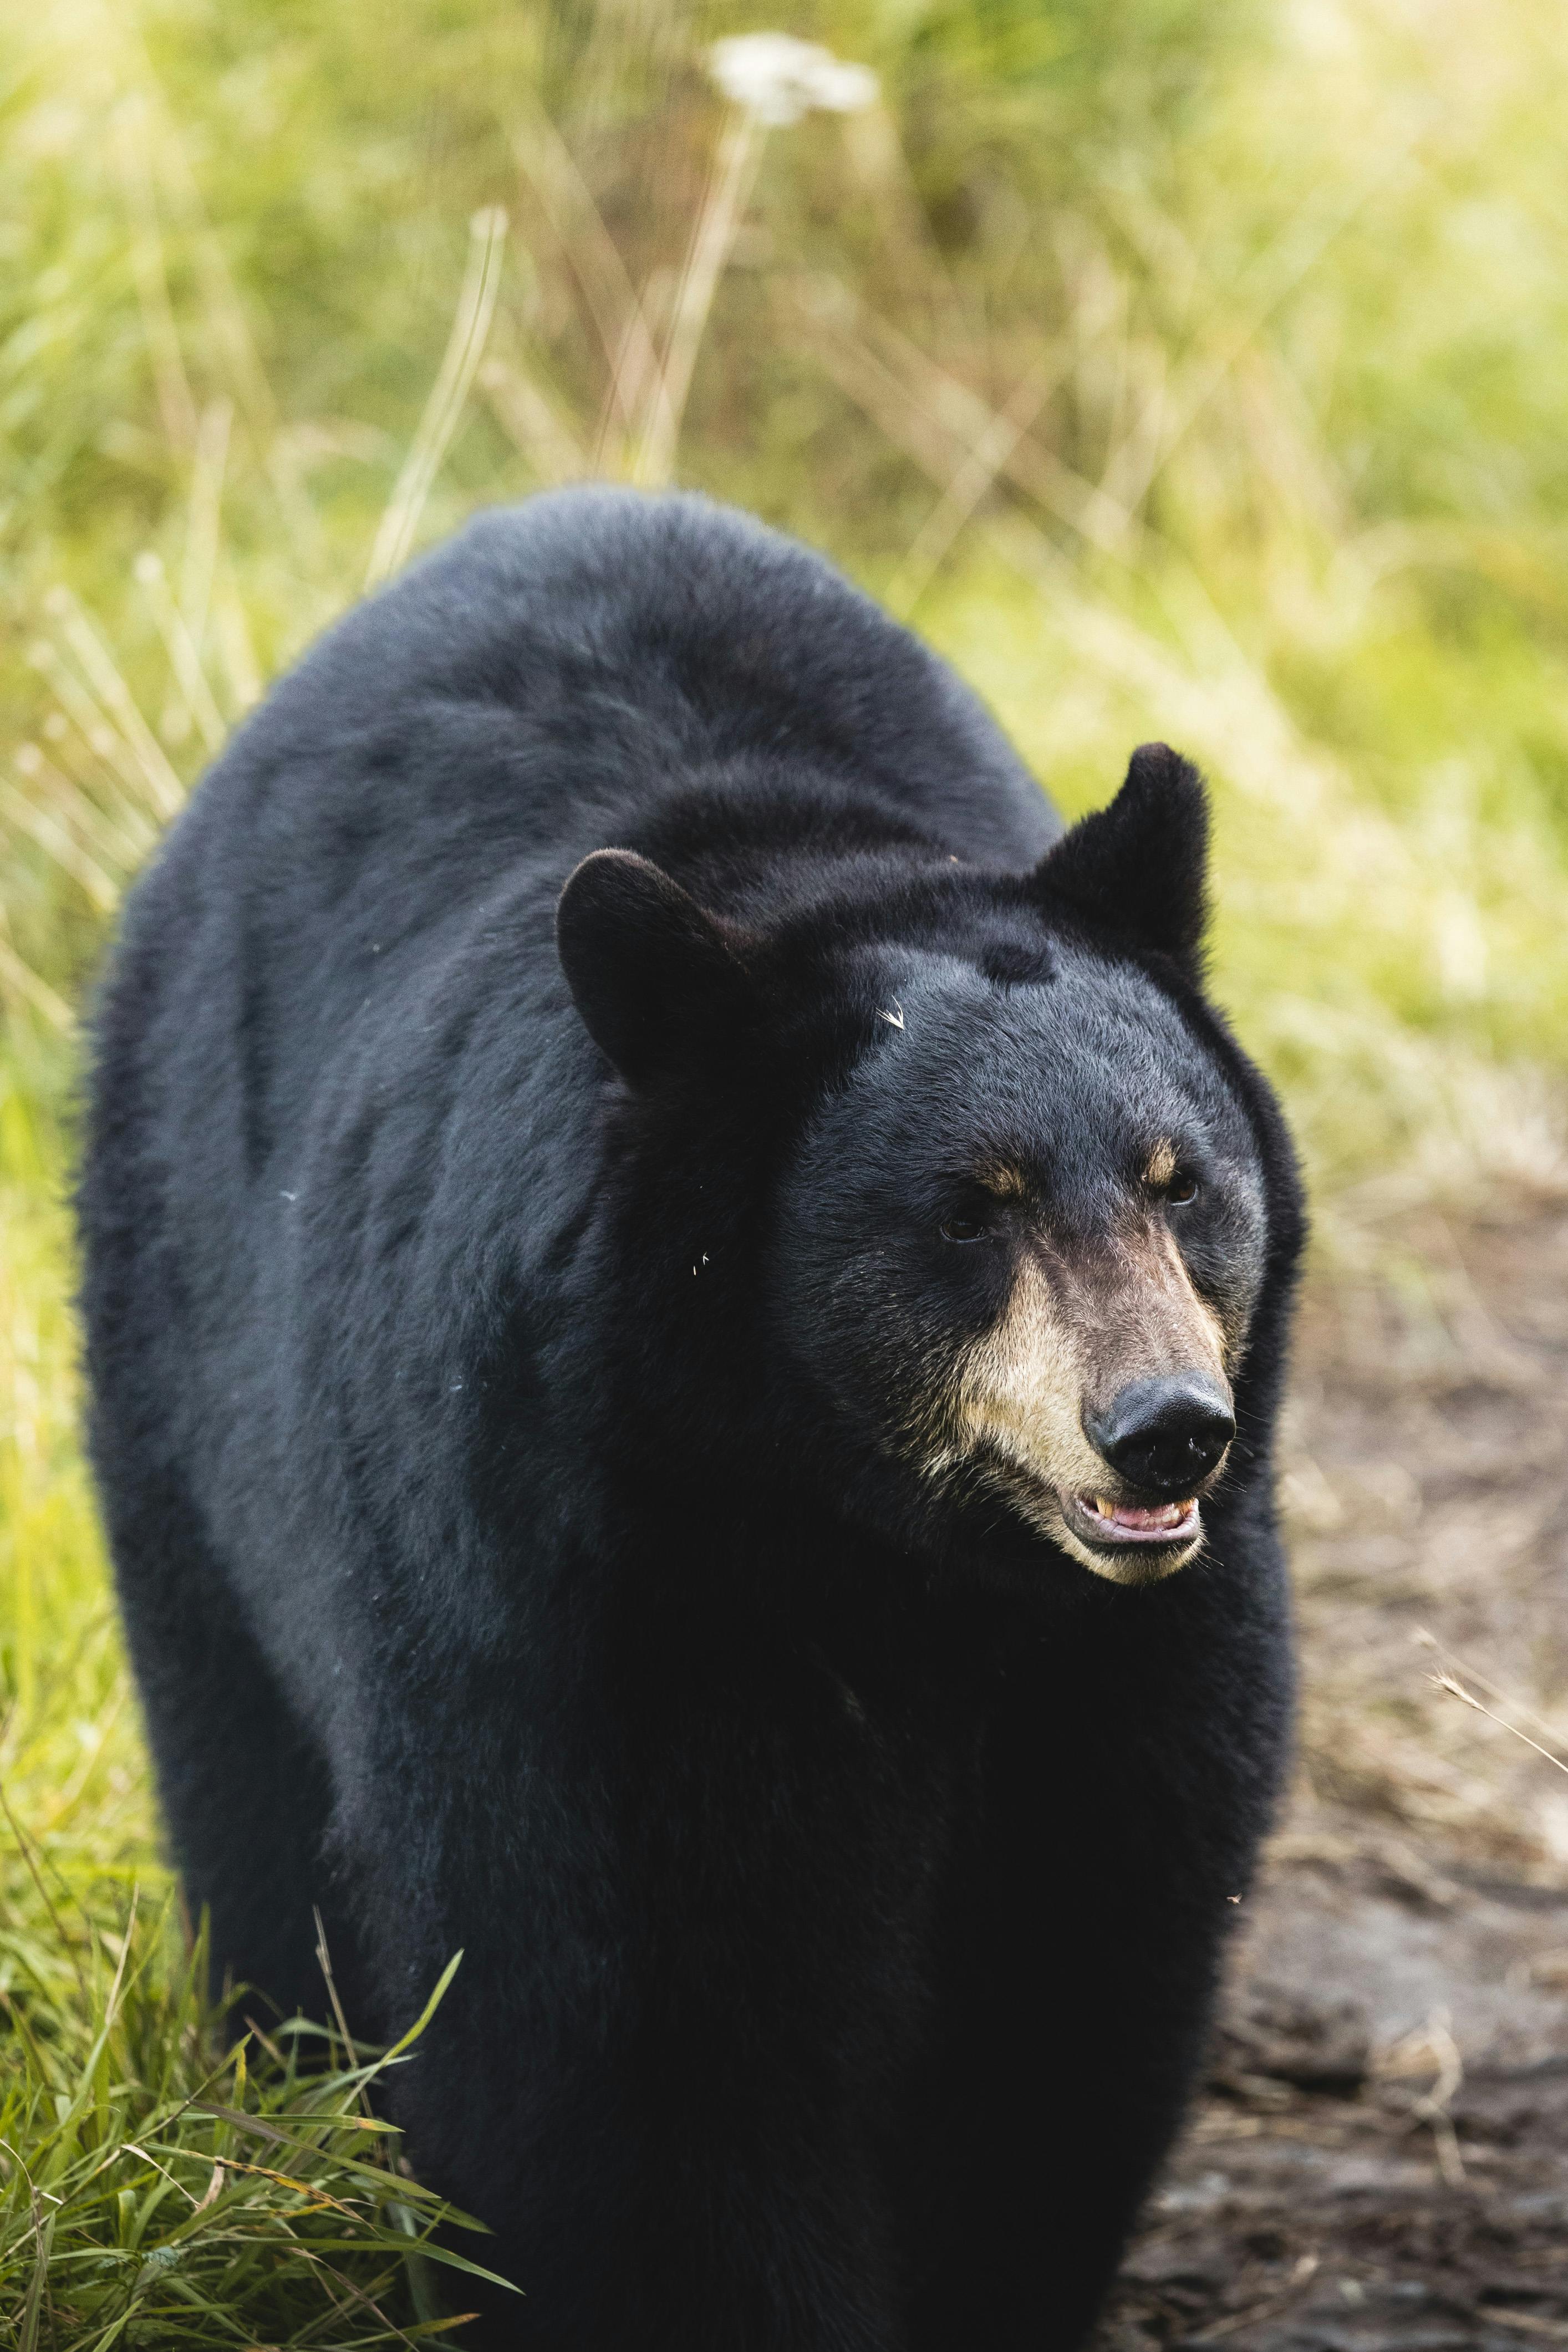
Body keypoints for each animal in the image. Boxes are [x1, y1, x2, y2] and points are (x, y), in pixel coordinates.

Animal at [78, 487, 1302, 2350]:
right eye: (972, 1209)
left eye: (1180, 1181)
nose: (1161, 1428)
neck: (873, 1541)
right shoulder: (573, 1579)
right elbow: (621, 2032)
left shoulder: (1132, 1665)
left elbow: (1065, 1997)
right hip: (181, 1385)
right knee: (254, 1813)